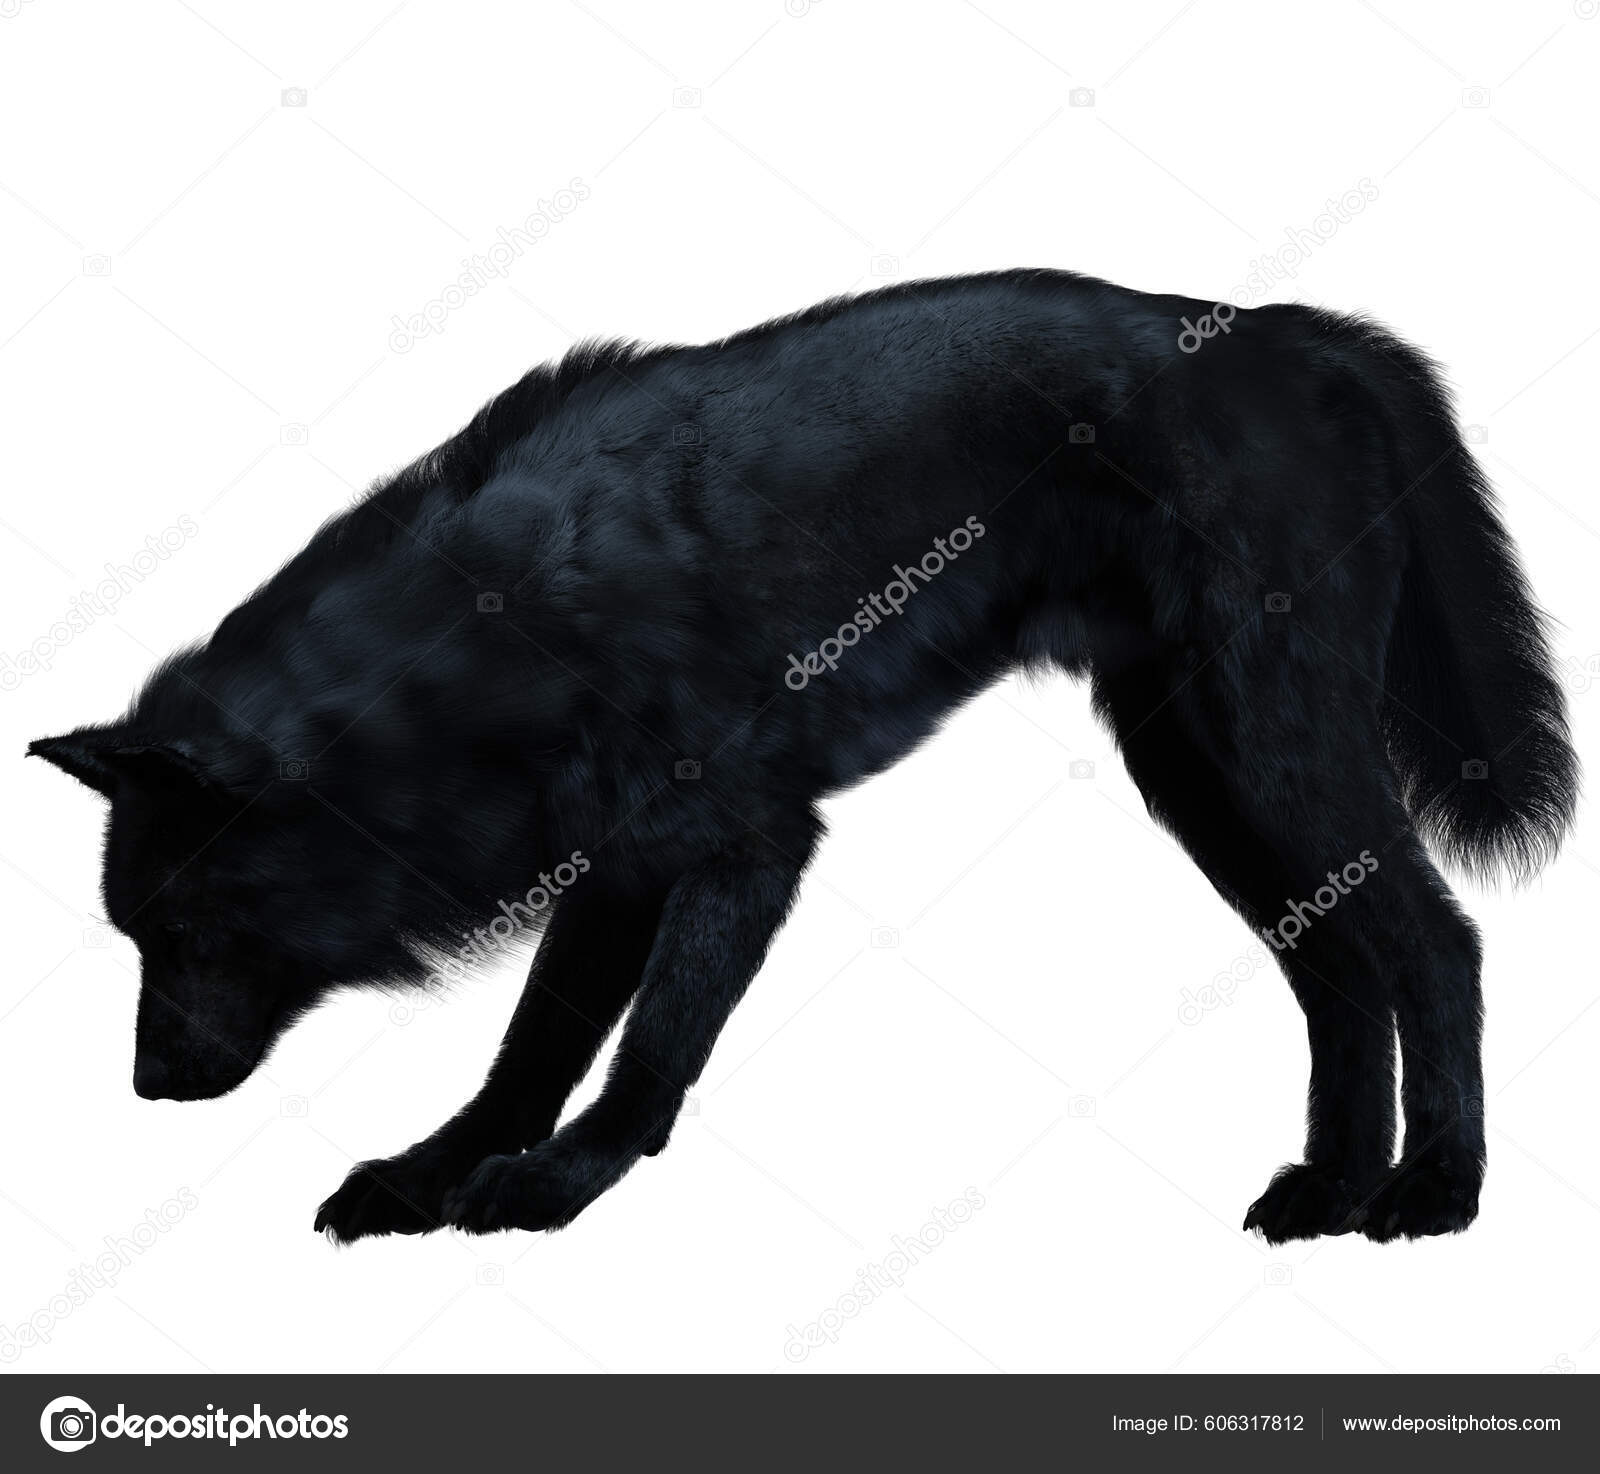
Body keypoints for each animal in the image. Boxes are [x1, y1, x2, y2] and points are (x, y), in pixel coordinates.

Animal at [30, 270, 1577, 1244]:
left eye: (190, 931)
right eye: (136, 937)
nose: (148, 1088)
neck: (486, 629)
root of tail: (1295, 332)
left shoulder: (744, 847)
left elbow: (645, 1050)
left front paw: (552, 1185)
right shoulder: (611, 872)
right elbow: (531, 1047)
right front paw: (430, 1175)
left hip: (1275, 757)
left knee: (1436, 942)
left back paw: (1433, 1193)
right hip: (1207, 781)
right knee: (1339, 971)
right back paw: (1327, 1190)